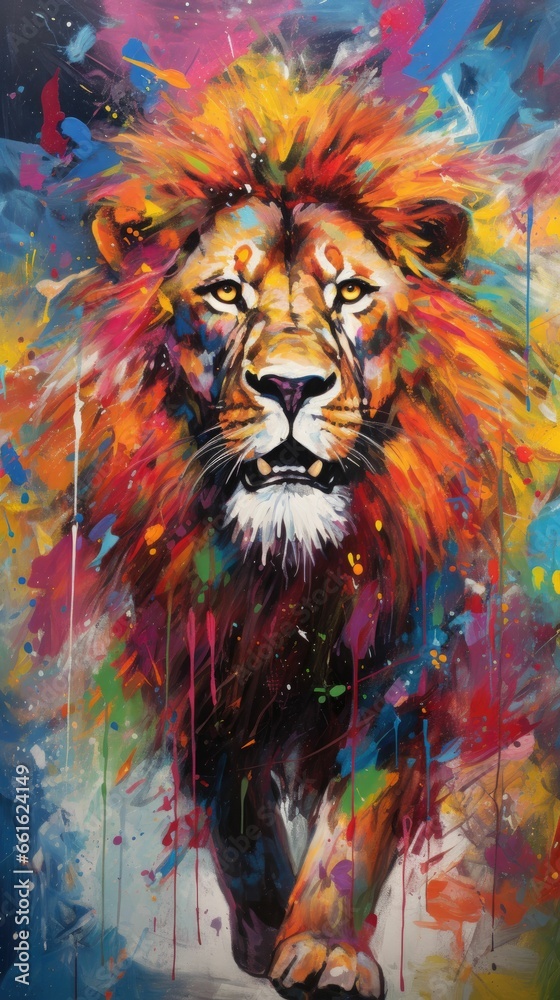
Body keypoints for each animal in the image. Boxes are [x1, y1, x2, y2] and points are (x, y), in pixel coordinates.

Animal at [4, 52, 560, 998]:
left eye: (352, 292)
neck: (290, 566)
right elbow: (237, 814)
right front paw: (266, 935)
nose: (292, 385)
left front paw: (327, 950)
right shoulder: (192, 656)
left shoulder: (404, 661)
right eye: (226, 293)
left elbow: (358, 818)